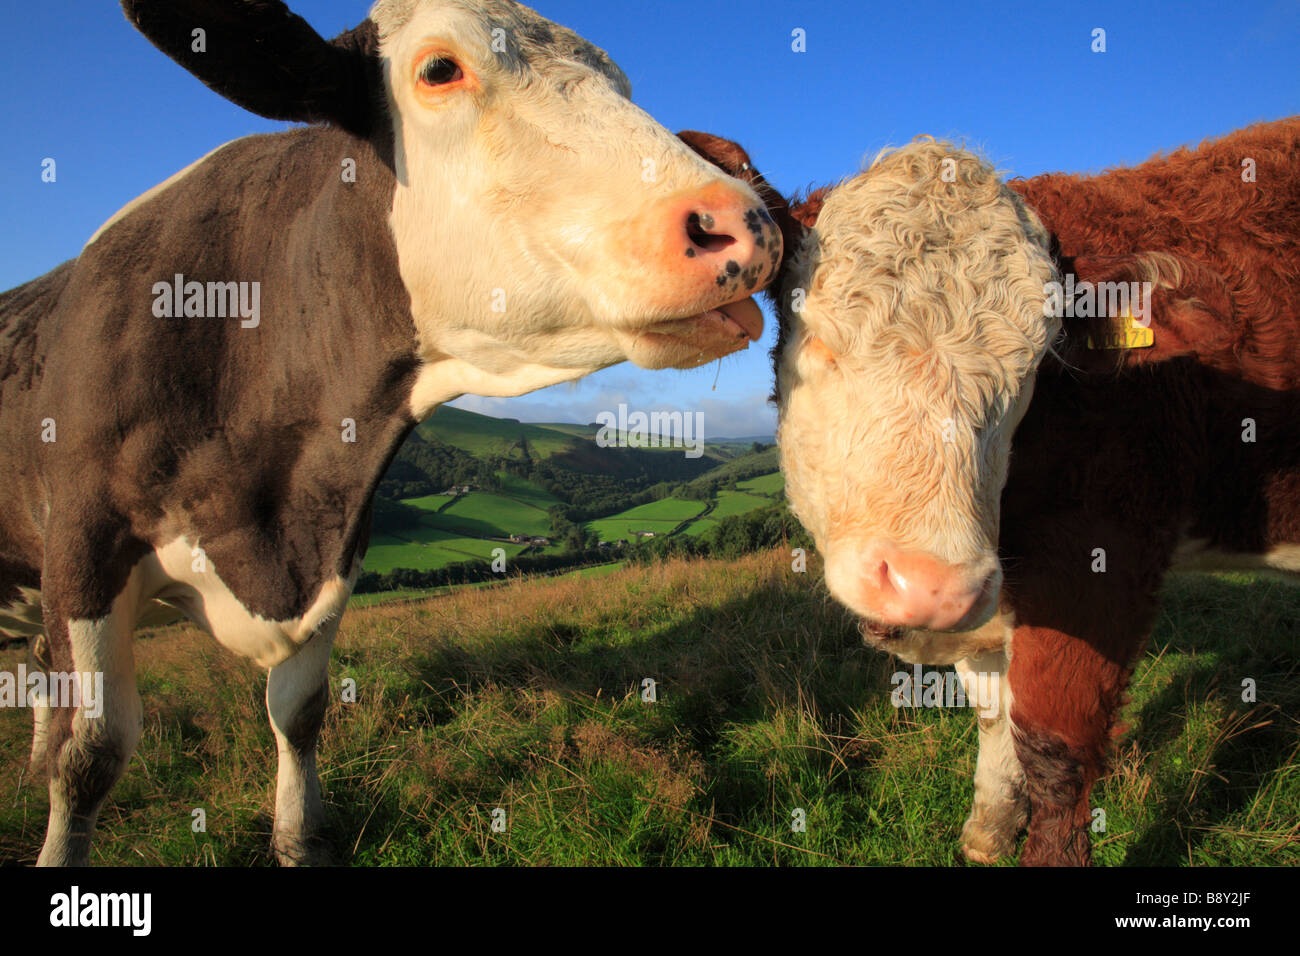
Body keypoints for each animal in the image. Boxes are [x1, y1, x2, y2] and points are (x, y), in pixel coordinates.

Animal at [0, 0, 782, 866]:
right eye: (439, 69)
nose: (740, 219)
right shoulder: (82, 545)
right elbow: (91, 752)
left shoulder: (339, 543)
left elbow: (299, 710)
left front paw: (300, 840)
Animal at [701, 117, 1300, 865]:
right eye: (821, 344)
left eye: (1036, 367)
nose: (932, 586)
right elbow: (995, 719)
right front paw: (987, 832)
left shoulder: (1102, 564)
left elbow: (1053, 751)